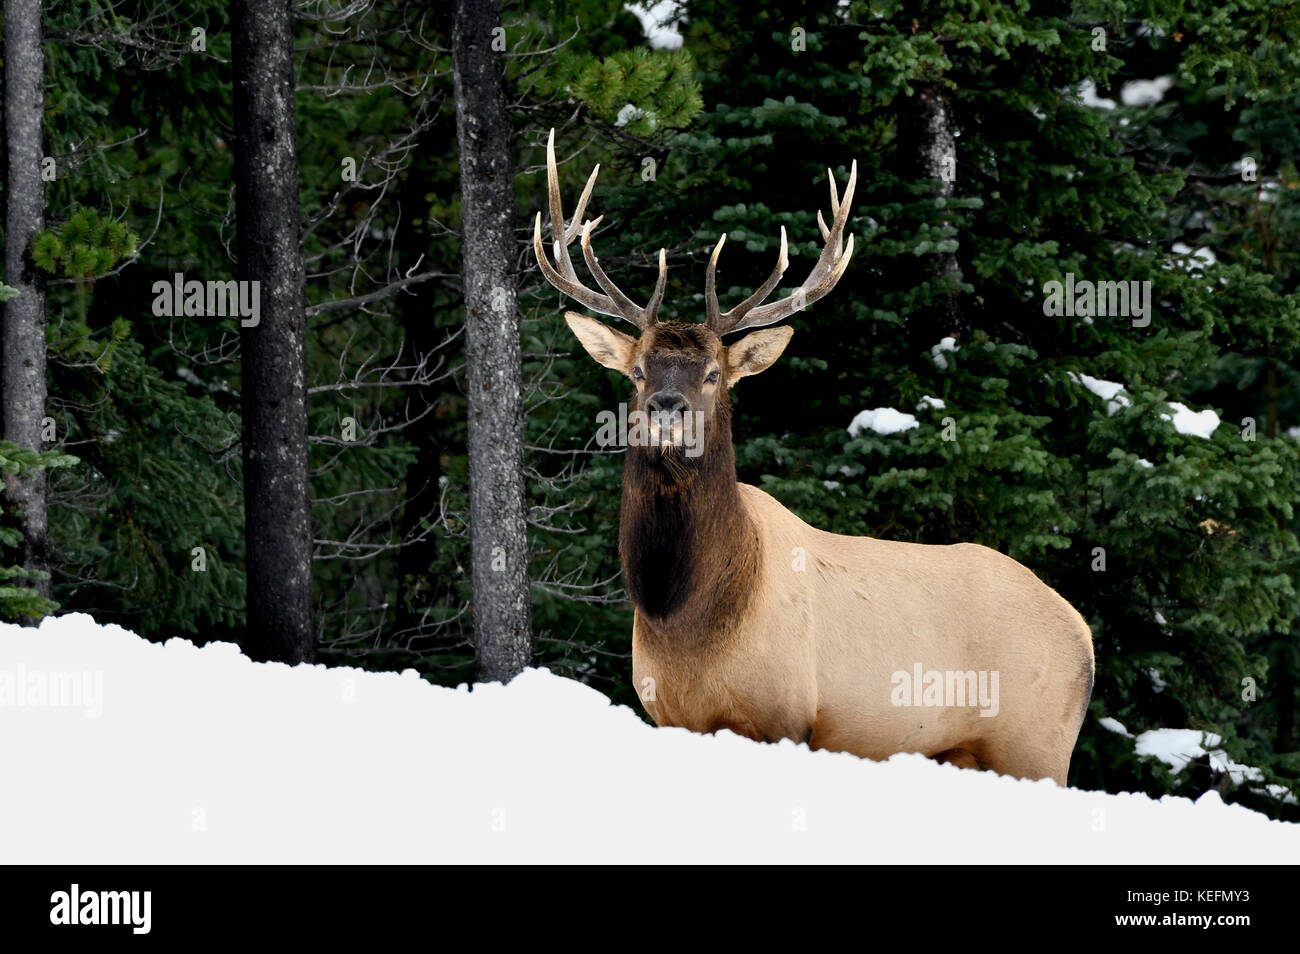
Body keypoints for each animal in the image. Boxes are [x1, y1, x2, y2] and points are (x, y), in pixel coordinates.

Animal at [533, 129, 1095, 785]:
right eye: (639, 370)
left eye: (714, 373)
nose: (667, 408)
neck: (681, 618)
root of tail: (1084, 637)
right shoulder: (671, 714)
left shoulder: (784, 713)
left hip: (1037, 743)